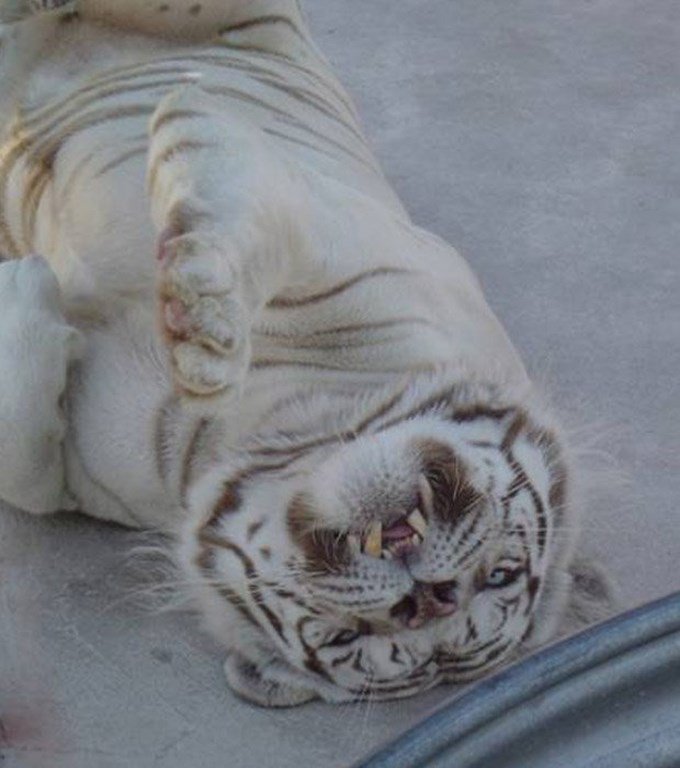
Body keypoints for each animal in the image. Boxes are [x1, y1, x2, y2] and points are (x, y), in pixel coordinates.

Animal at [0, 0, 613, 705]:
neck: (275, 417)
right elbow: (245, 206)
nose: (430, 597)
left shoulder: (85, 465)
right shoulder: (355, 239)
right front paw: (205, 321)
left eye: (354, 638)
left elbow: (29, 470)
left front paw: (23, 290)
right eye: (502, 573)